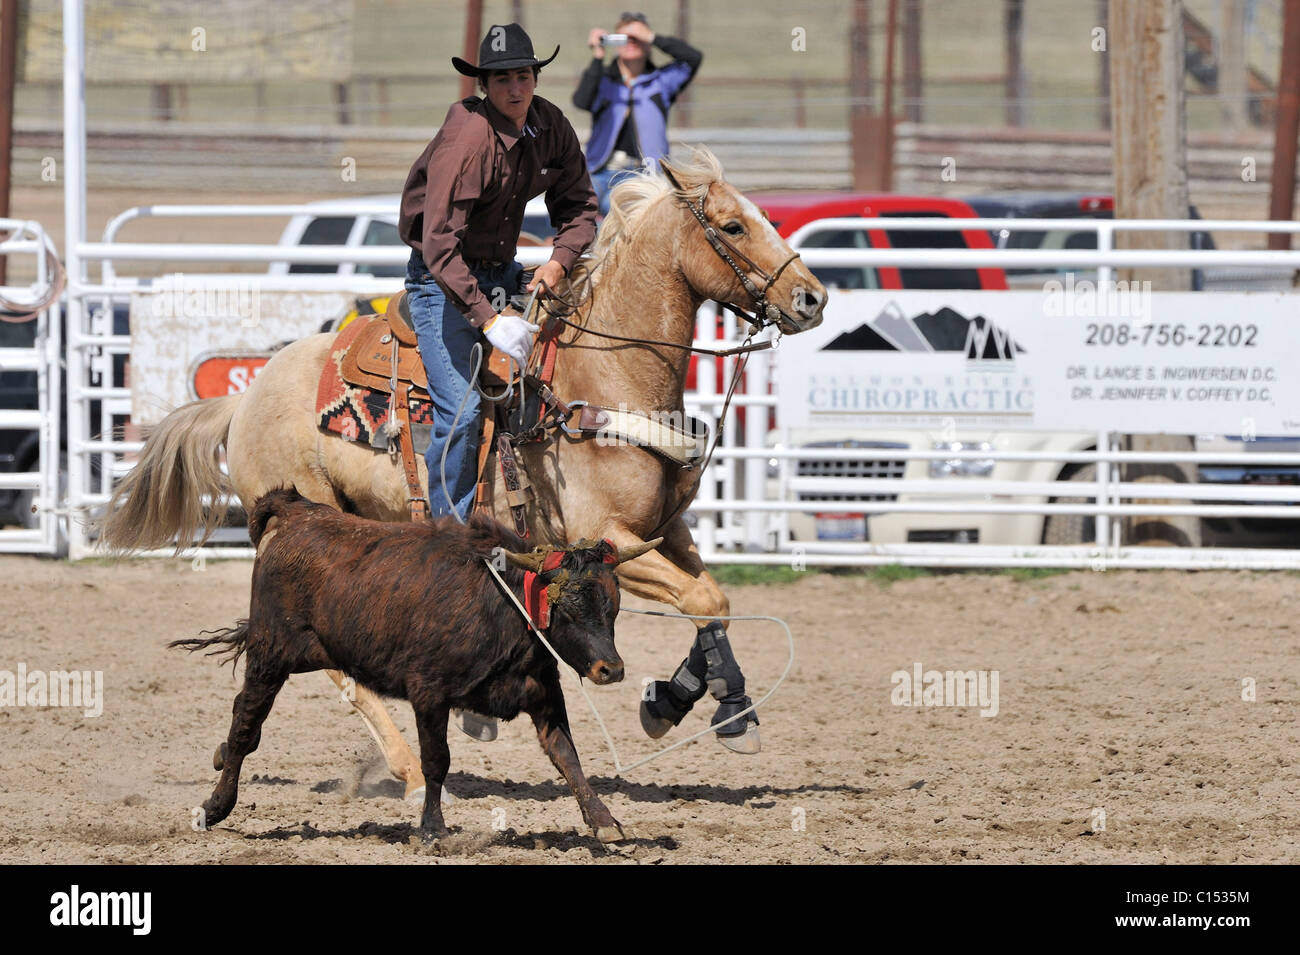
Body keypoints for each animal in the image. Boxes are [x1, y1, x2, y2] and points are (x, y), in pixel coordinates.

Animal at [101, 147, 826, 800]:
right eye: (733, 226)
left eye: (764, 217)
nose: (812, 298)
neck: (605, 378)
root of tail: (248, 394)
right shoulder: (605, 537)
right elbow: (704, 599)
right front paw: (712, 711)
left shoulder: (665, 533)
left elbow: (714, 598)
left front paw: (689, 703)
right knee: (339, 669)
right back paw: (410, 769)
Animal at [171, 488, 660, 844]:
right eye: (567, 608)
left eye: (613, 606)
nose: (611, 669)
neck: (502, 606)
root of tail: (298, 514)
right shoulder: (430, 694)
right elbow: (436, 761)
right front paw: (432, 827)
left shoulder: (543, 695)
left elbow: (567, 757)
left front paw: (603, 821)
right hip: (270, 655)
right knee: (245, 725)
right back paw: (215, 806)